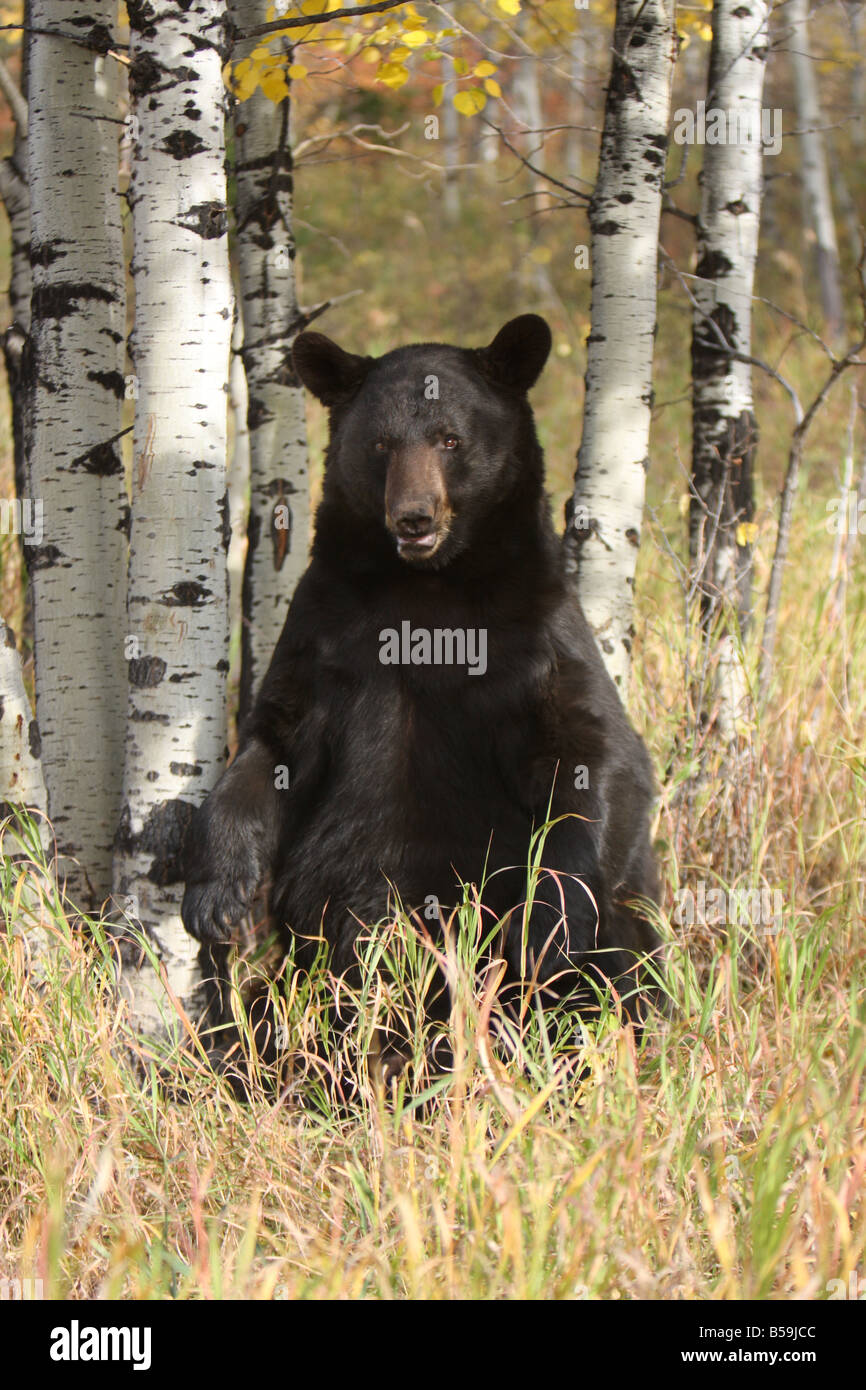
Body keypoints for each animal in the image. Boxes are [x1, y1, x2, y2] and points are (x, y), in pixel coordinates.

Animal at [182, 314, 660, 1069]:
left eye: (450, 438)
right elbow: (269, 747)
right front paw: (217, 898)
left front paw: (544, 932)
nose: (413, 517)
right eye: (380, 443)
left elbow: (595, 755)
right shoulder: (325, 637)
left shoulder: (536, 641)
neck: (427, 592)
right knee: (270, 1013)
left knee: (615, 979)